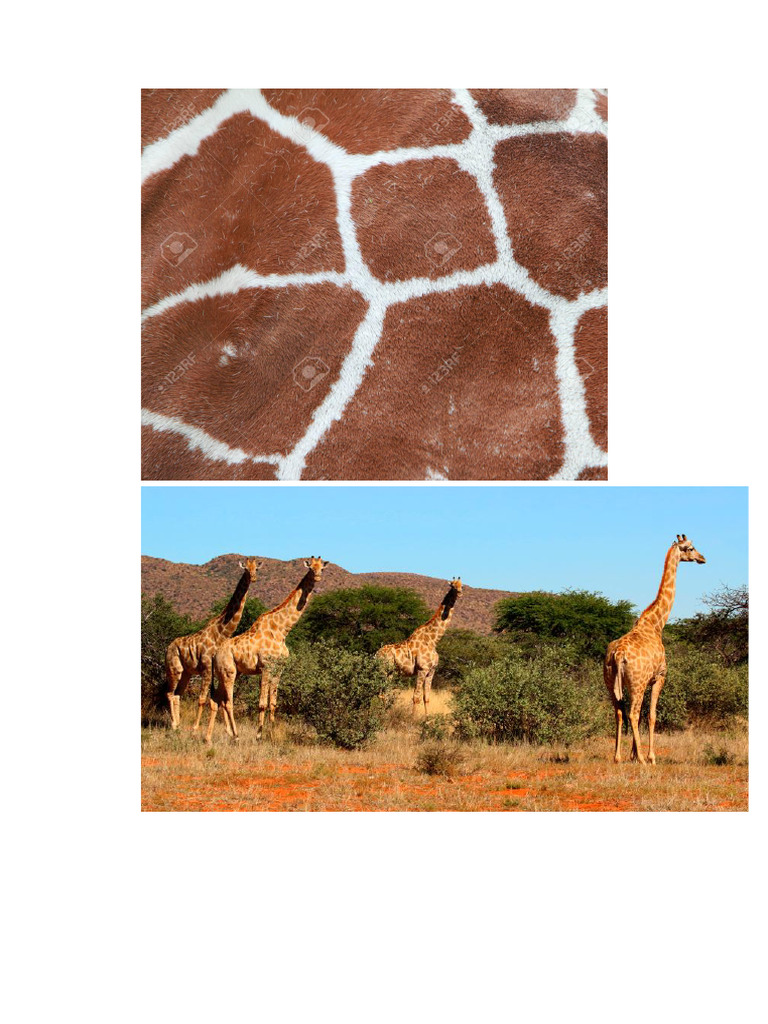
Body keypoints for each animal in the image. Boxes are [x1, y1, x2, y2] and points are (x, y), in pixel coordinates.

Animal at [164, 557, 262, 730]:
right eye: (245, 569)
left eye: (256, 568)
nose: (254, 578)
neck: (221, 633)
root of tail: (167, 648)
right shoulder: (207, 667)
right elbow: (204, 699)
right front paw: (196, 729)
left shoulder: (217, 670)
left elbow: (218, 699)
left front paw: (228, 730)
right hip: (174, 669)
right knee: (170, 693)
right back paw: (174, 725)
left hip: (187, 672)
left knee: (177, 694)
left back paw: (179, 724)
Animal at [206, 556, 329, 742]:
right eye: (310, 567)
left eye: (322, 568)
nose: (318, 577)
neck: (281, 630)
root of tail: (215, 654)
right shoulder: (266, 667)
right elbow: (262, 703)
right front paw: (258, 735)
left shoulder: (279, 668)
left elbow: (273, 703)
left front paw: (271, 733)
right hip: (229, 672)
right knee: (227, 702)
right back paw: (236, 736)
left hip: (226, 673)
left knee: (216, 700)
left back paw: (209, 737)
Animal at [376, 578, 463, 716]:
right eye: (453, 586)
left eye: (462, 585)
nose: (460, 593)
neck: (433, 640)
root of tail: (376, 654)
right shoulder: (422, 669)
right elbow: (416, 697)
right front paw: (412, 717)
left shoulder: (431, 671)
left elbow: (426, 697)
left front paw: (427, 719)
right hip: (383, 670)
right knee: (381, 692)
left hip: (390, 672)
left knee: (384, 692)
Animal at [604, 535, 706, 764]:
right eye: (691, 548)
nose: (702, 558)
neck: (657, 623)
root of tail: (618, 654)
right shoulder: (659, 677)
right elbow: (651, 715)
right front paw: (649, 756)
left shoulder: (641, 682)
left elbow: (642, 714)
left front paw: (632, 754)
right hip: (637, 683)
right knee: (632, 714)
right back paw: (643, 759)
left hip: (611, 683)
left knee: (619, 713)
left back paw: (617, 757)